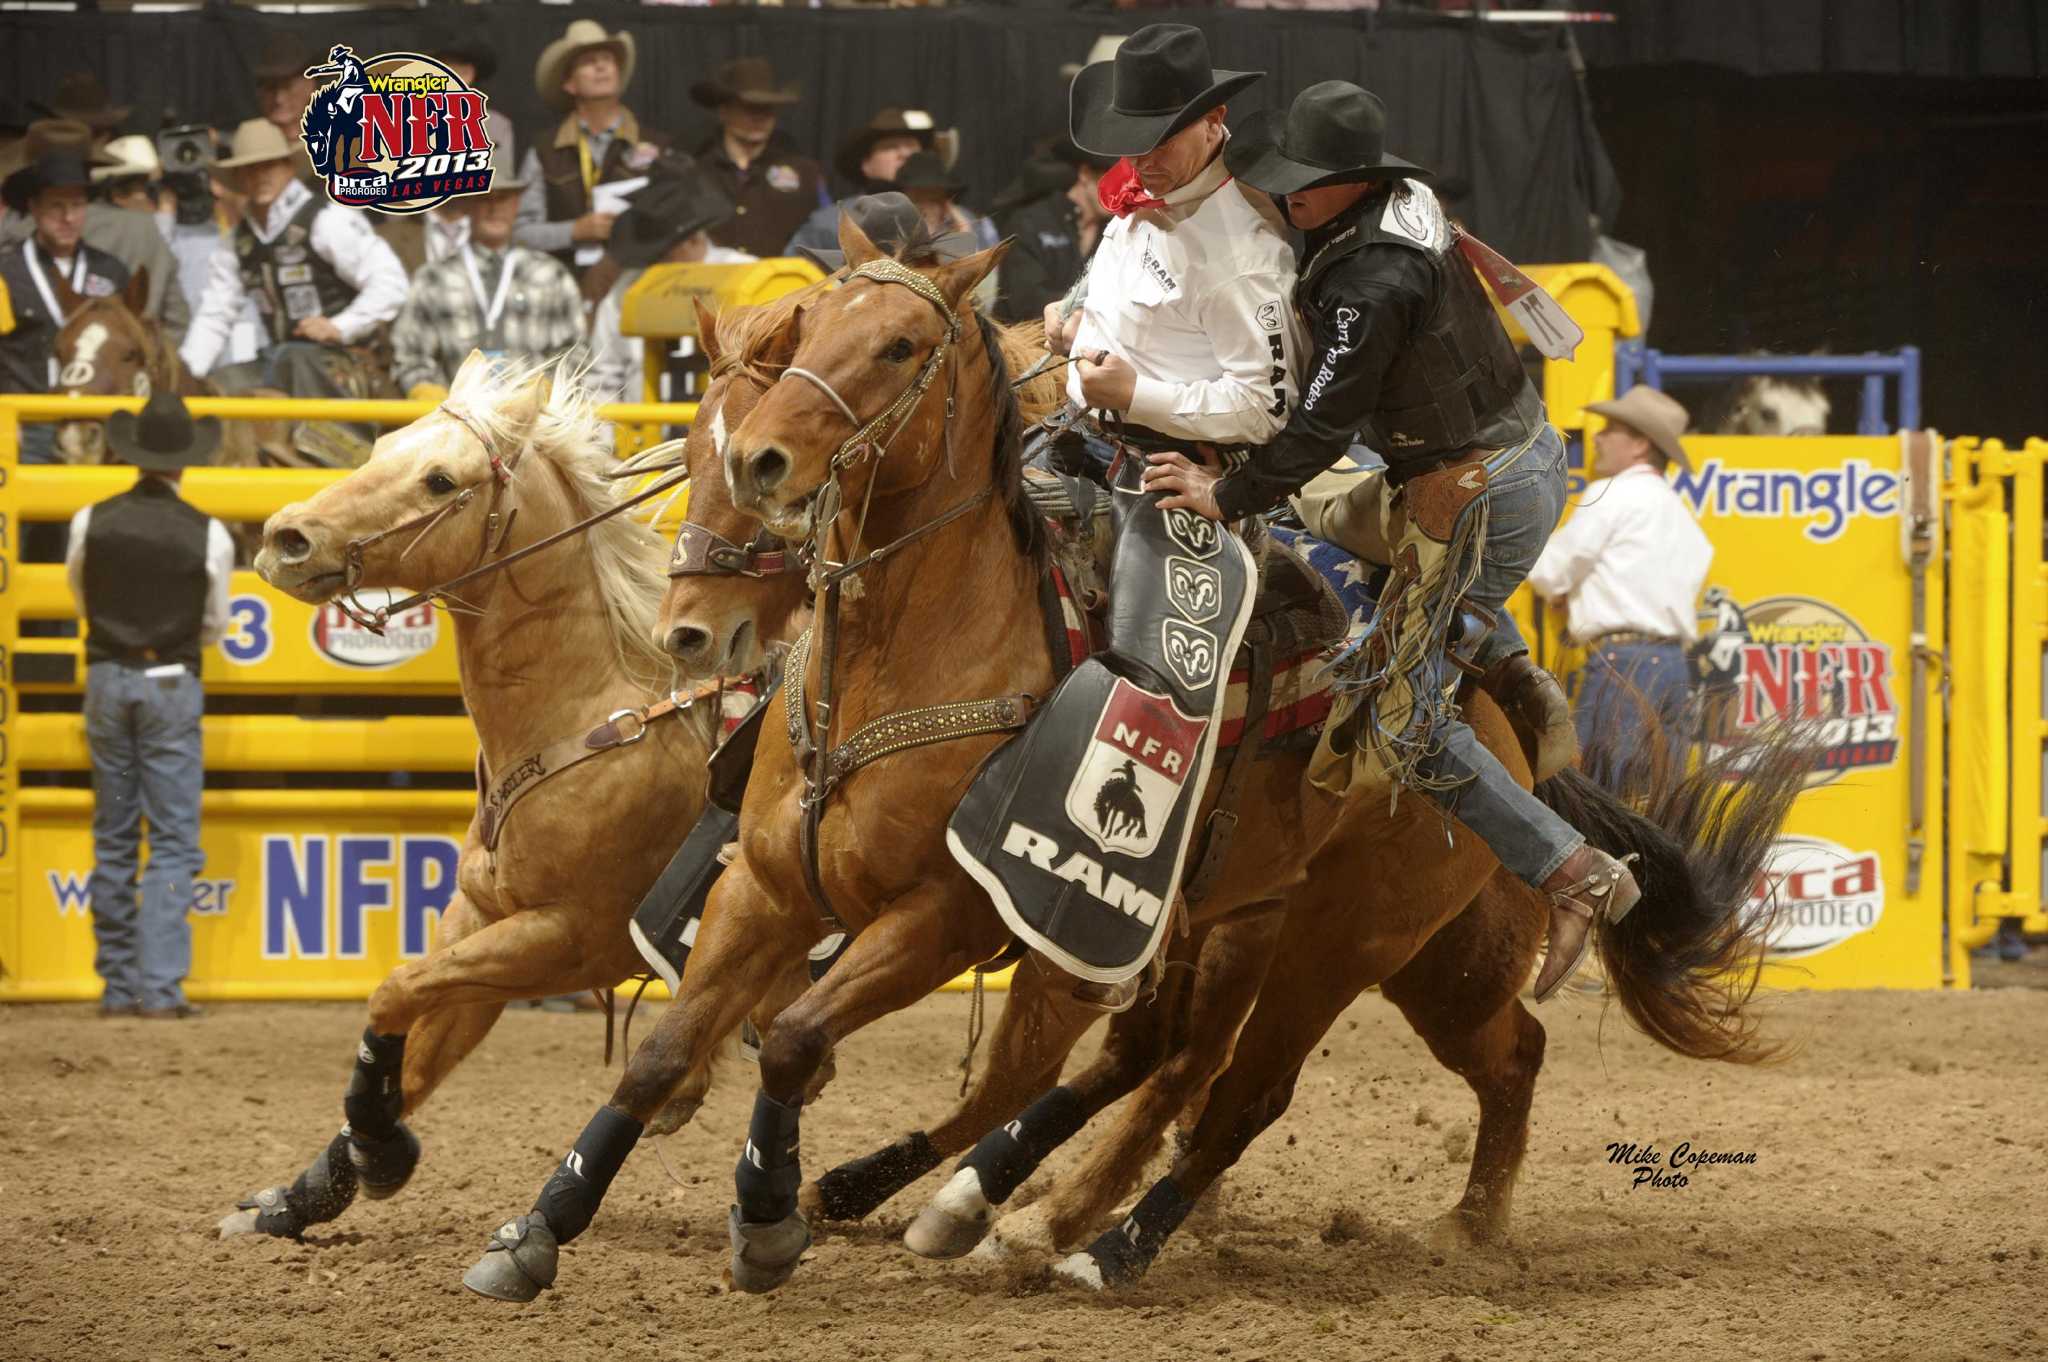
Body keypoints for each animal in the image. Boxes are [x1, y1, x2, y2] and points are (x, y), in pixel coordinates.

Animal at [225, 352, 806, 1243]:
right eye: (383, 446)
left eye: (439, 479)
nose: (288, 536)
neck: (581, 720)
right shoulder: (482, 920)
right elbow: (414, 1038)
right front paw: (313, 1188)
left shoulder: (568, 939)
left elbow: (395, 989)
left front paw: (379, 1145)